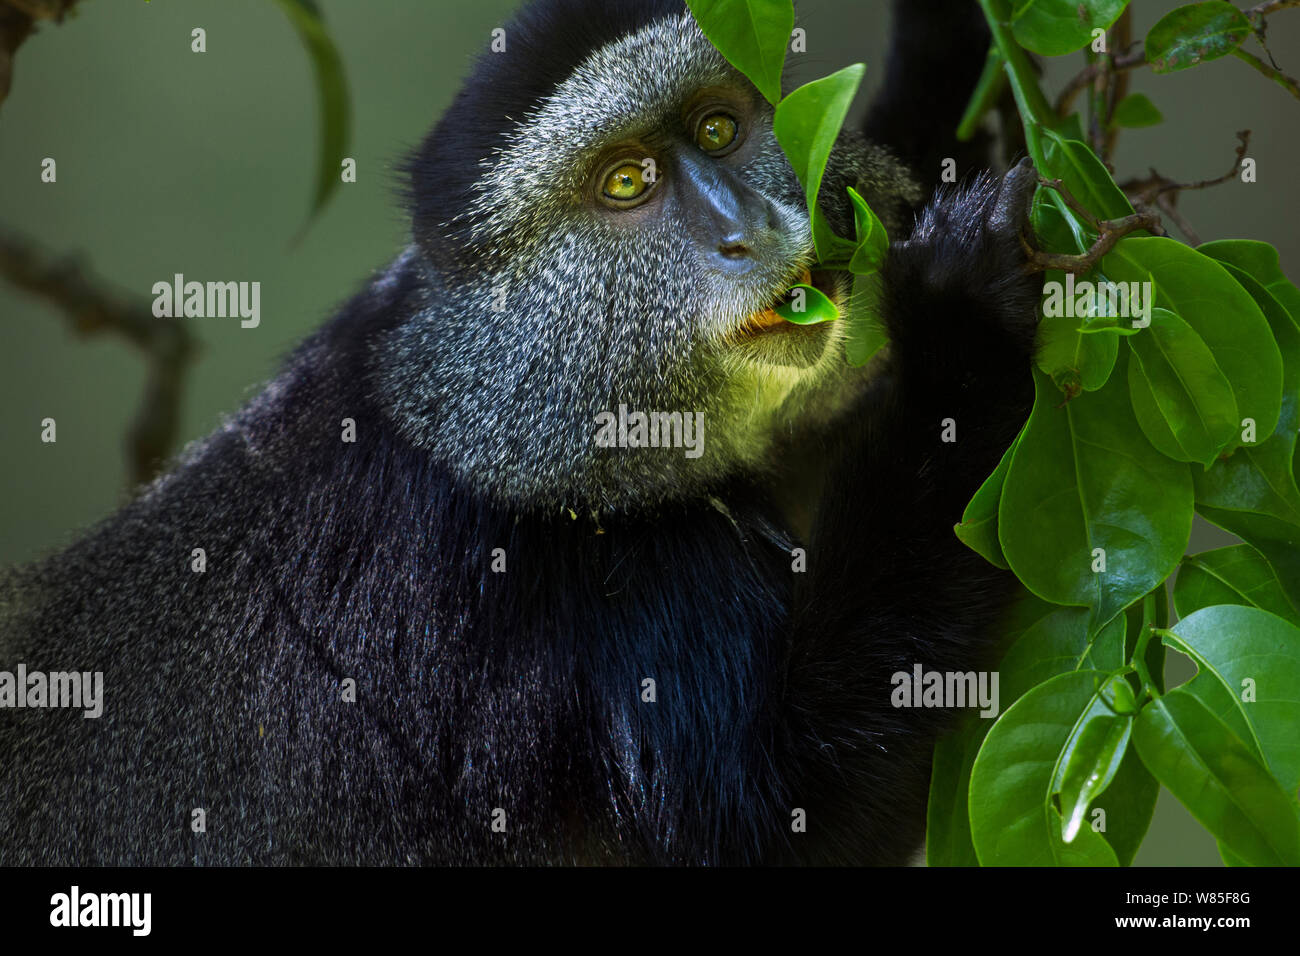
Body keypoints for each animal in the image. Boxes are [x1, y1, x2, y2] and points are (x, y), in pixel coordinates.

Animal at [0, 0, 1041, 865]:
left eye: (718, 128)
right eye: (626, 183)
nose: (747, 230)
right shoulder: (598, 592)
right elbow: (783, 819)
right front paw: (959, 334)